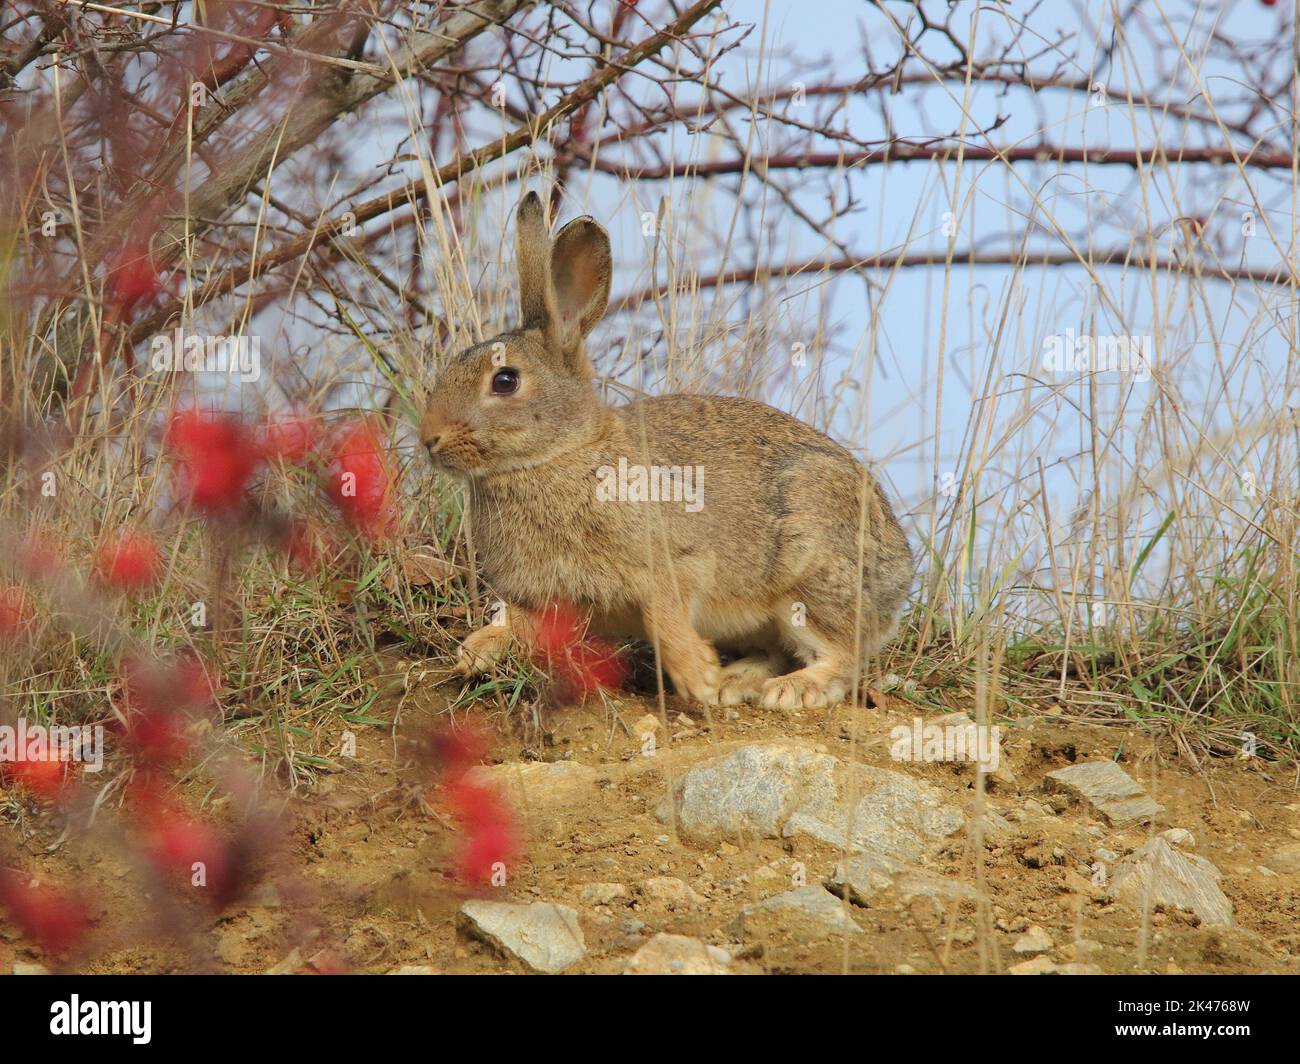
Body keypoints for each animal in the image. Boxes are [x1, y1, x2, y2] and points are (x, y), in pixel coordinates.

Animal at [419, 191, 914, 710]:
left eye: (505, 380)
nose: (429, 439)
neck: (559, 454)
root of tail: (902, 575)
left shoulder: (679, 561)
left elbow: (664, 613)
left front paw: (697, 676)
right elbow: (517, 620)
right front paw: (476, 651)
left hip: (808, 576)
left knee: (843, 656)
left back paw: (788, 690)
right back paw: (737, 680)